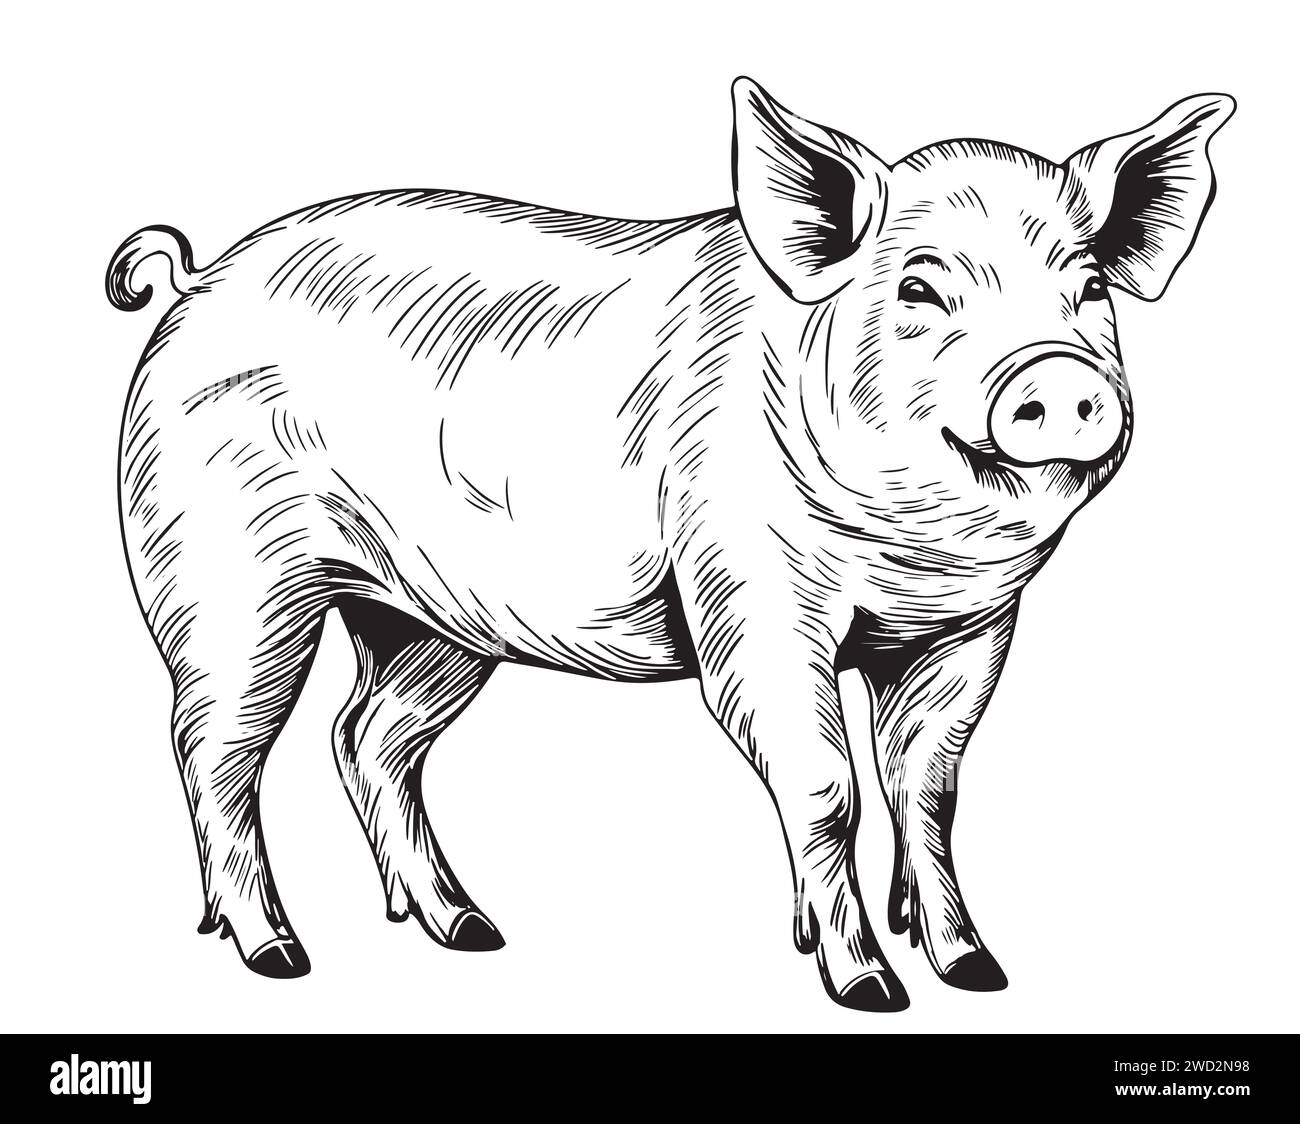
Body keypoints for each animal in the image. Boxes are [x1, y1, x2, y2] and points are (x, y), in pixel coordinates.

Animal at [108, 79, 1232, 1010]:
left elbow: (929, 786)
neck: (915, 544)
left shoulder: (971, 628)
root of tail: (194, 281)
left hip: (432, 617)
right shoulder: (749, 590)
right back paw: (279, 954)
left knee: (368, 737)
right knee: (216, 748)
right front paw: (868, 989)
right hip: (229, 579)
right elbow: (827, 783)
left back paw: (469, 930)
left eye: (1087, 289)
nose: (1060, 377)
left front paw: (975, 970)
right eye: (919, 289)